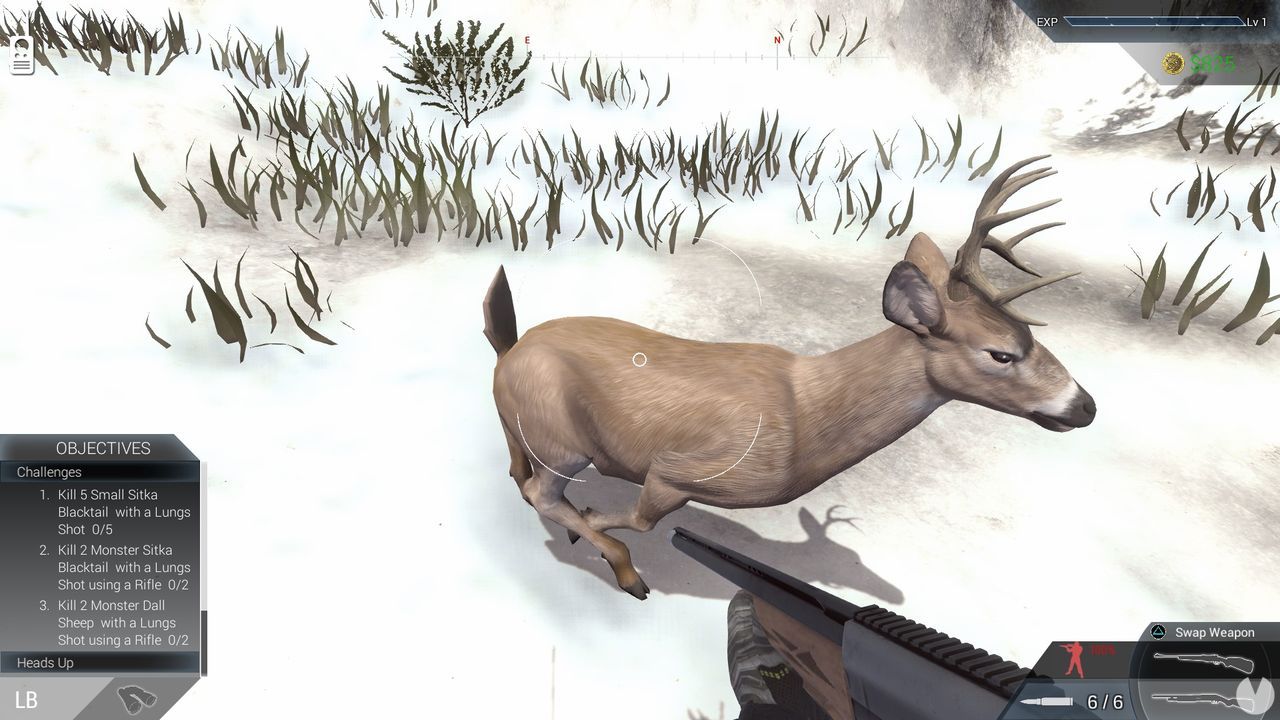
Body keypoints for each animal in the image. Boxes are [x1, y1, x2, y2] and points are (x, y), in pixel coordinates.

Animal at [484, 156, 1096, 600]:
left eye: (1033, 336)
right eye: (1002, 354)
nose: (1084, 406)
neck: (807, 415)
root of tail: (510, 351)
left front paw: (589, 522)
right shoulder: (677, 470)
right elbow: (639, 519)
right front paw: (599, 531)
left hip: (535, 432)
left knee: (519, 471)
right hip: (561, 438)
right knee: (539, 491)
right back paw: (624, 571)